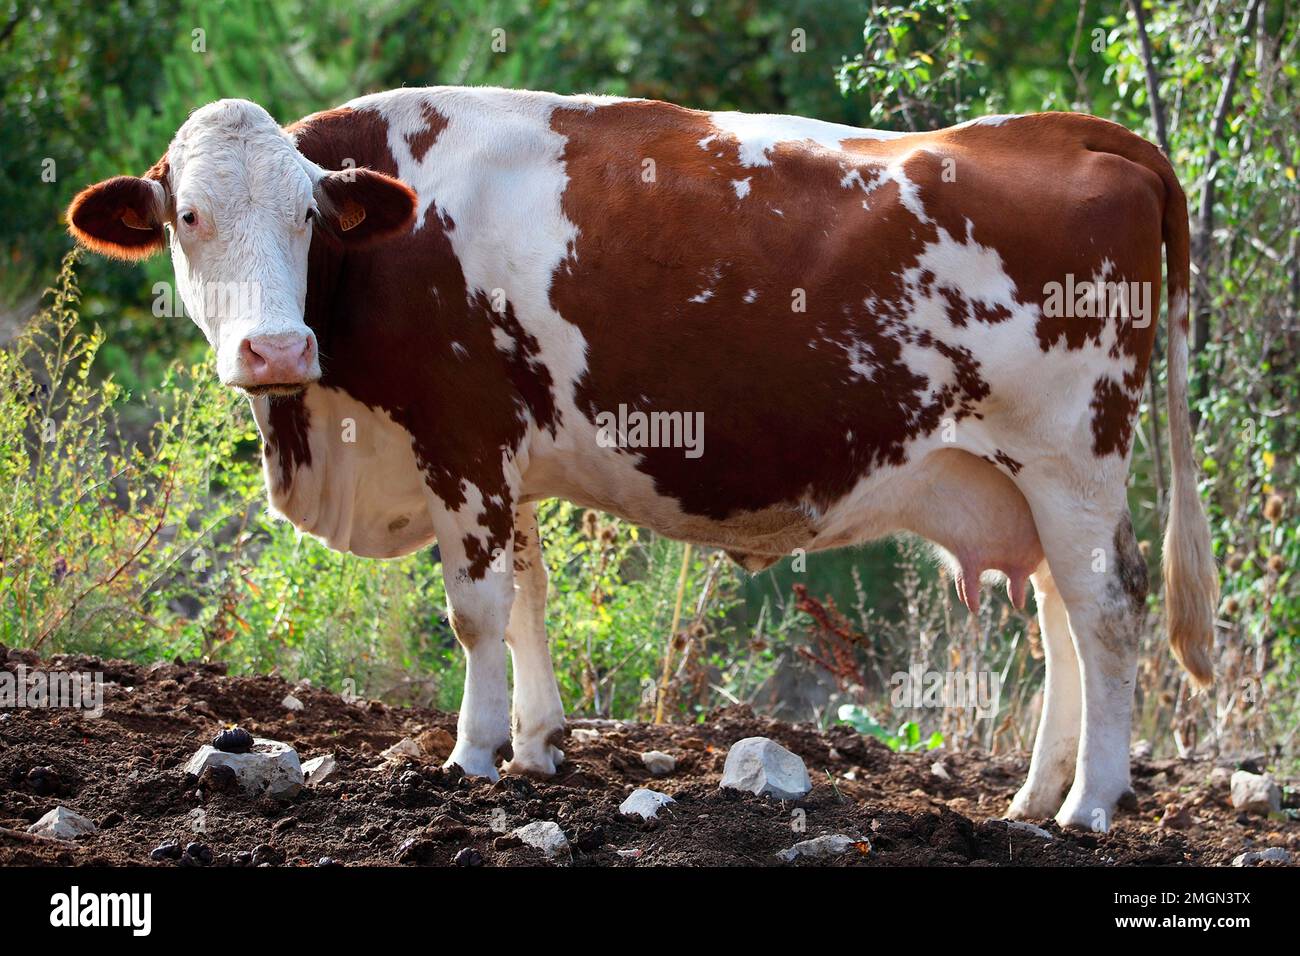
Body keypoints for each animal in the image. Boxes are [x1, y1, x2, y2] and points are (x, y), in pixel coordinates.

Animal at [66, 87, 1218, 830]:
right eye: (188, 216)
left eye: (309, 215)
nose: (274, 348)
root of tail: (1077, 136)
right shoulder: (509, 457)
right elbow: (527, 597)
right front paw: (537, 744)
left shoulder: (461, 439)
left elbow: (475, 613)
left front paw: (472, 755)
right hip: (1019, 477)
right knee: (1063, 618)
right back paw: (1032, 794)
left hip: (1072, 457)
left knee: (1108, 614)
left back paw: (1089, 804)